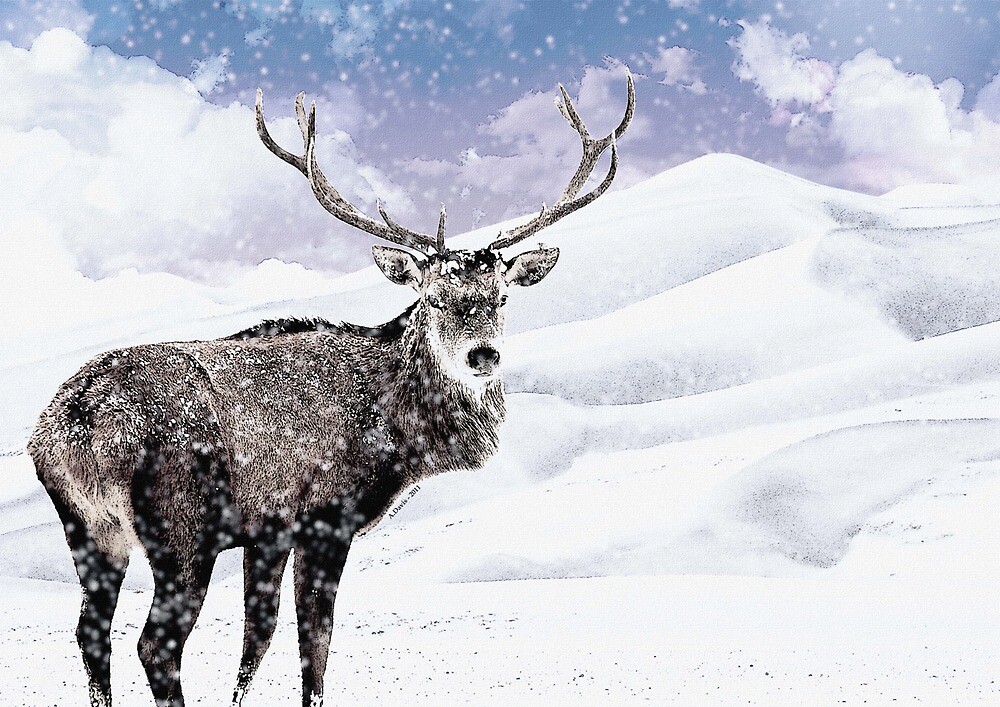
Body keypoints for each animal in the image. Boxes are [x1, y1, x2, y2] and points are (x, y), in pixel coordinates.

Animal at [28, 70, 633, 707]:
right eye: (433, 297)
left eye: (502, 296)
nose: (483, 355)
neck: (398, 438)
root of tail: (65, 432)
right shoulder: (323, 517)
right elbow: (314, 645)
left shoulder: (267, 534)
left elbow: (257, 640)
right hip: (181, 528)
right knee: (154, 644)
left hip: (91, 531)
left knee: (90, 631)